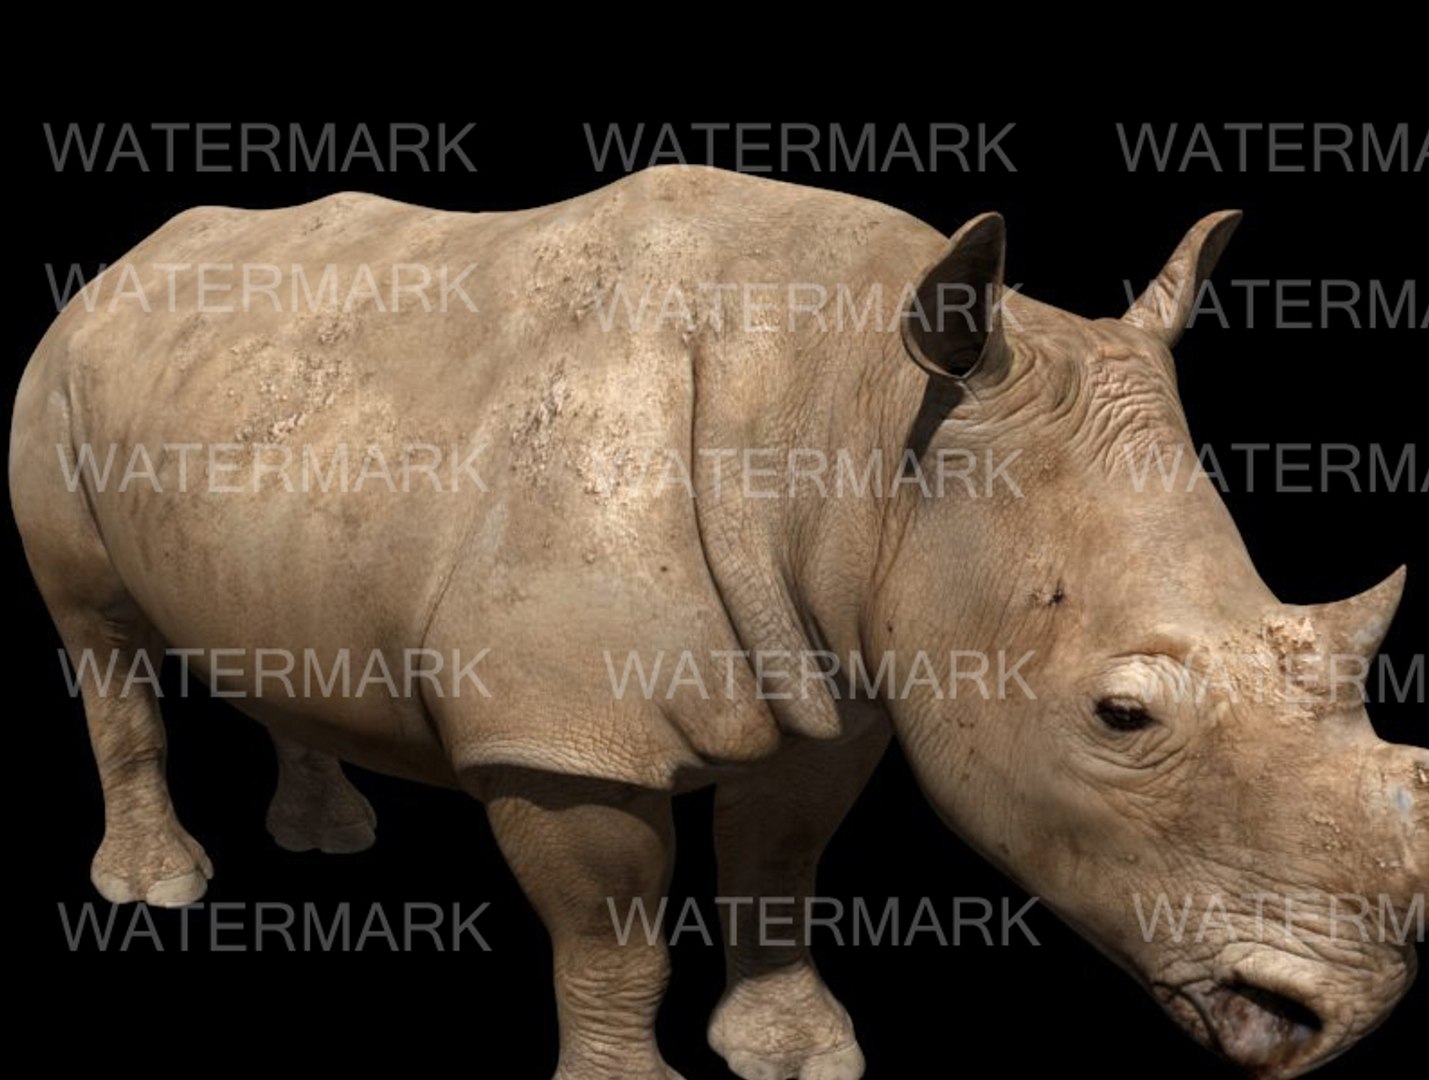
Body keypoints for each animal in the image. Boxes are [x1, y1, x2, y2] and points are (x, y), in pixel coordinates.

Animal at [10, 165, 1425, 1079]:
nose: (1336, 1021)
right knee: (95, 632)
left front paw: (795, 1056)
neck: (857, 413)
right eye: (1120, 716)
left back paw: (329, 841)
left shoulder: (831, 679)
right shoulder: (563, 733)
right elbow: (611, 937)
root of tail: (129, 259)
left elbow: (778, 860)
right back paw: (159, 890)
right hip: (62, 370)